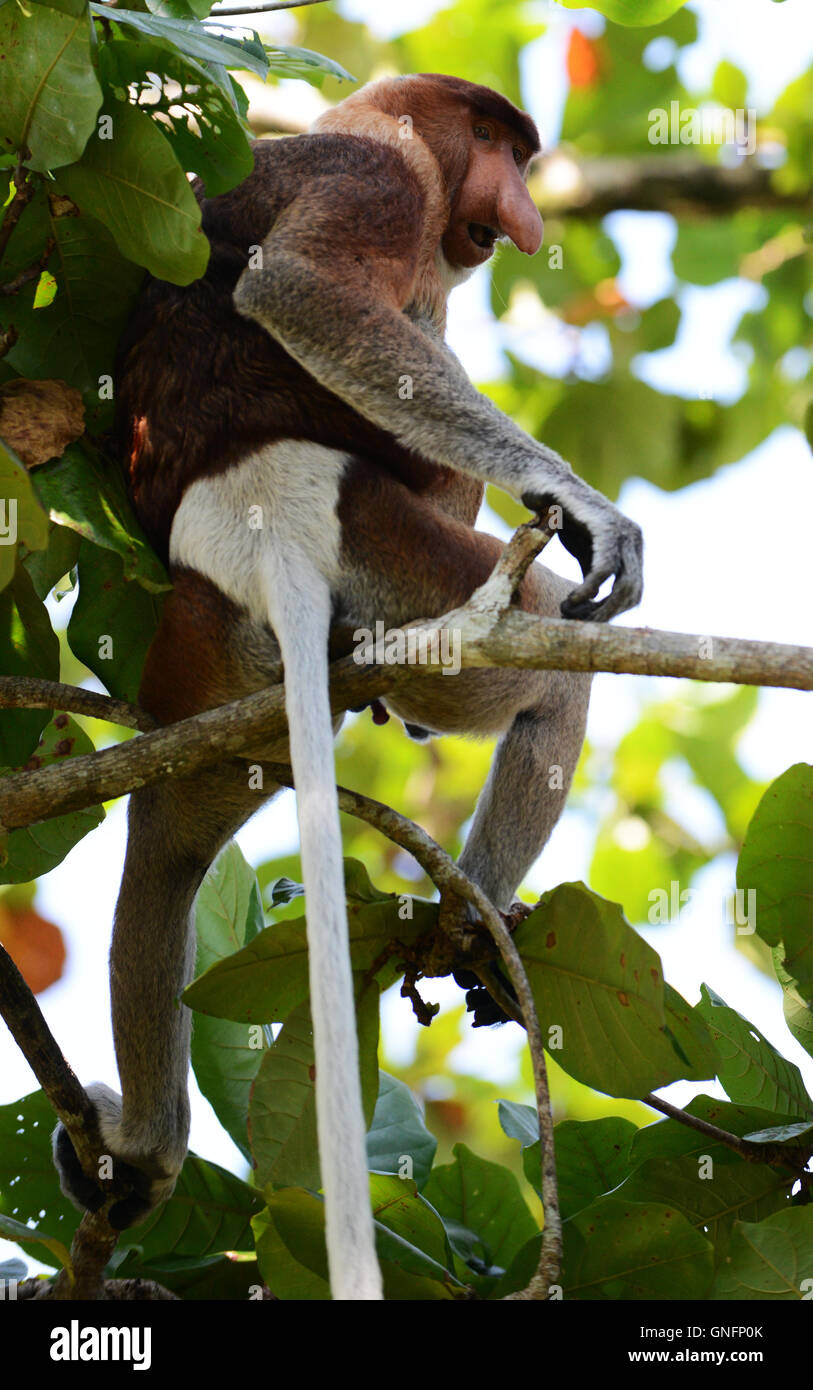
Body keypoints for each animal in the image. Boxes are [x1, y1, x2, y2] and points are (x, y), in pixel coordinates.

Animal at [52, 74, 643, 1301]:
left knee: (167, 844)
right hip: (401, 562)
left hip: (207, 673)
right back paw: (469, 935)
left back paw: (141, 1155)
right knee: (551, 681)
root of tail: (256, 517)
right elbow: (303, 290)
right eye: (503, 149)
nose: (525, 218)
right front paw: (572, 499)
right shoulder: (385, 185)